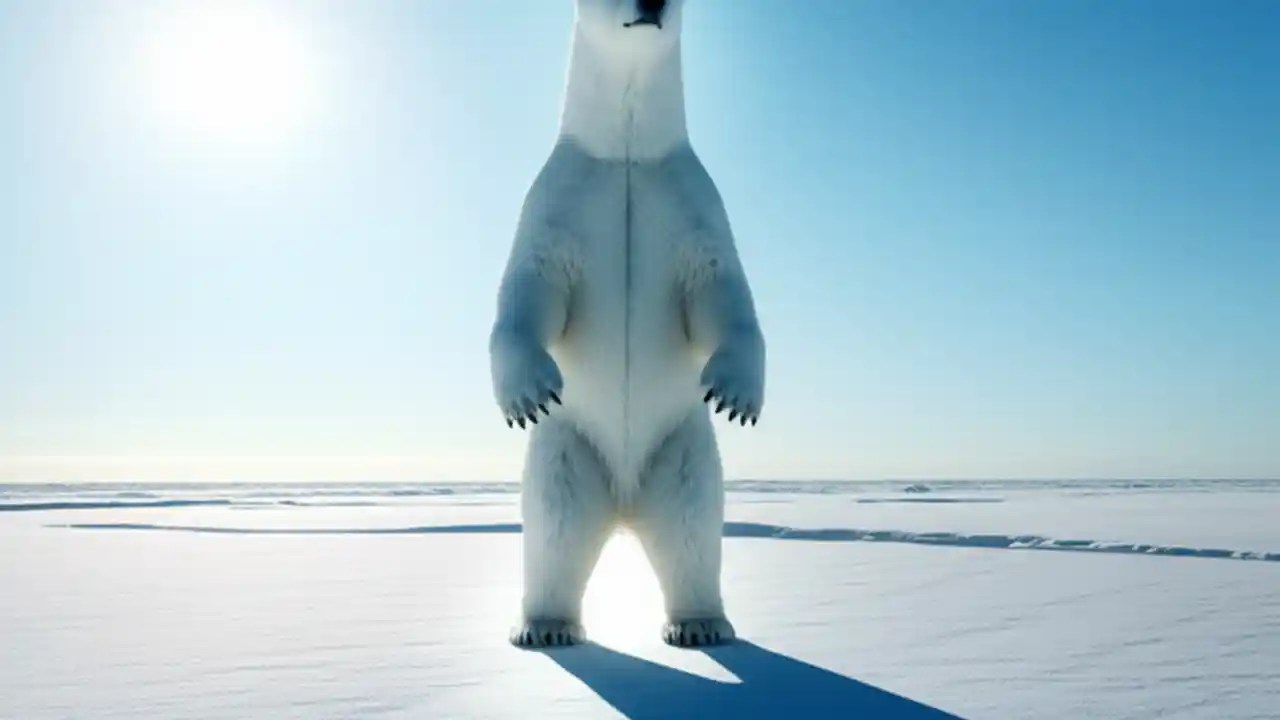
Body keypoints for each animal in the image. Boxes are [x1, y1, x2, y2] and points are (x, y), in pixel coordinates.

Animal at [489, 0, 765, 648]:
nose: (650, 2)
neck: (627, 157)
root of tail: (624, 508)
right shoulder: (557, 199)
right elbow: (529, 284)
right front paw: (526, 390)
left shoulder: (693, 202)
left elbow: (721, 287)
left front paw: (737, 393)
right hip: (566, 450)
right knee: (553, 529)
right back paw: (544, 627)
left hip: (682, 450)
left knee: (694, 527)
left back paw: (700, 624)